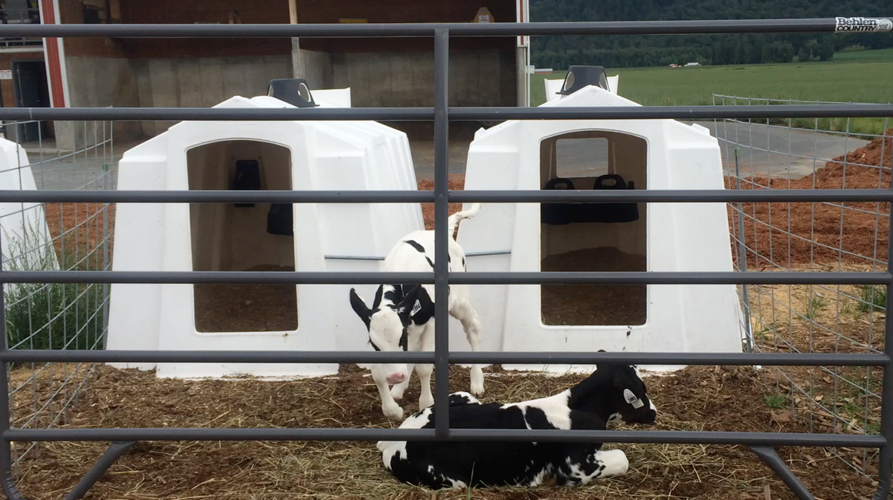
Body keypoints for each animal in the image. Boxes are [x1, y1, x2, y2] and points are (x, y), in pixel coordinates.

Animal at [349, 203, 483, 421]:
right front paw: (393, 409)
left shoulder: (431, 322)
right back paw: (399, 389)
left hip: (460, 302)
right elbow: (378, 373)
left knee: (473, 328)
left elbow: (424, 367)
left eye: (400, 338)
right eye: (374, 344)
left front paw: (426, 404)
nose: (396, 376)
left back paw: (477, 380)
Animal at [377, 358, 657, 489]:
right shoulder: (574, 467)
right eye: (639, 391)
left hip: (463, 397)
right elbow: (622, 458)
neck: (578, 409)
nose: (654, 413)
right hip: (454, 481)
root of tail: (394, 442)